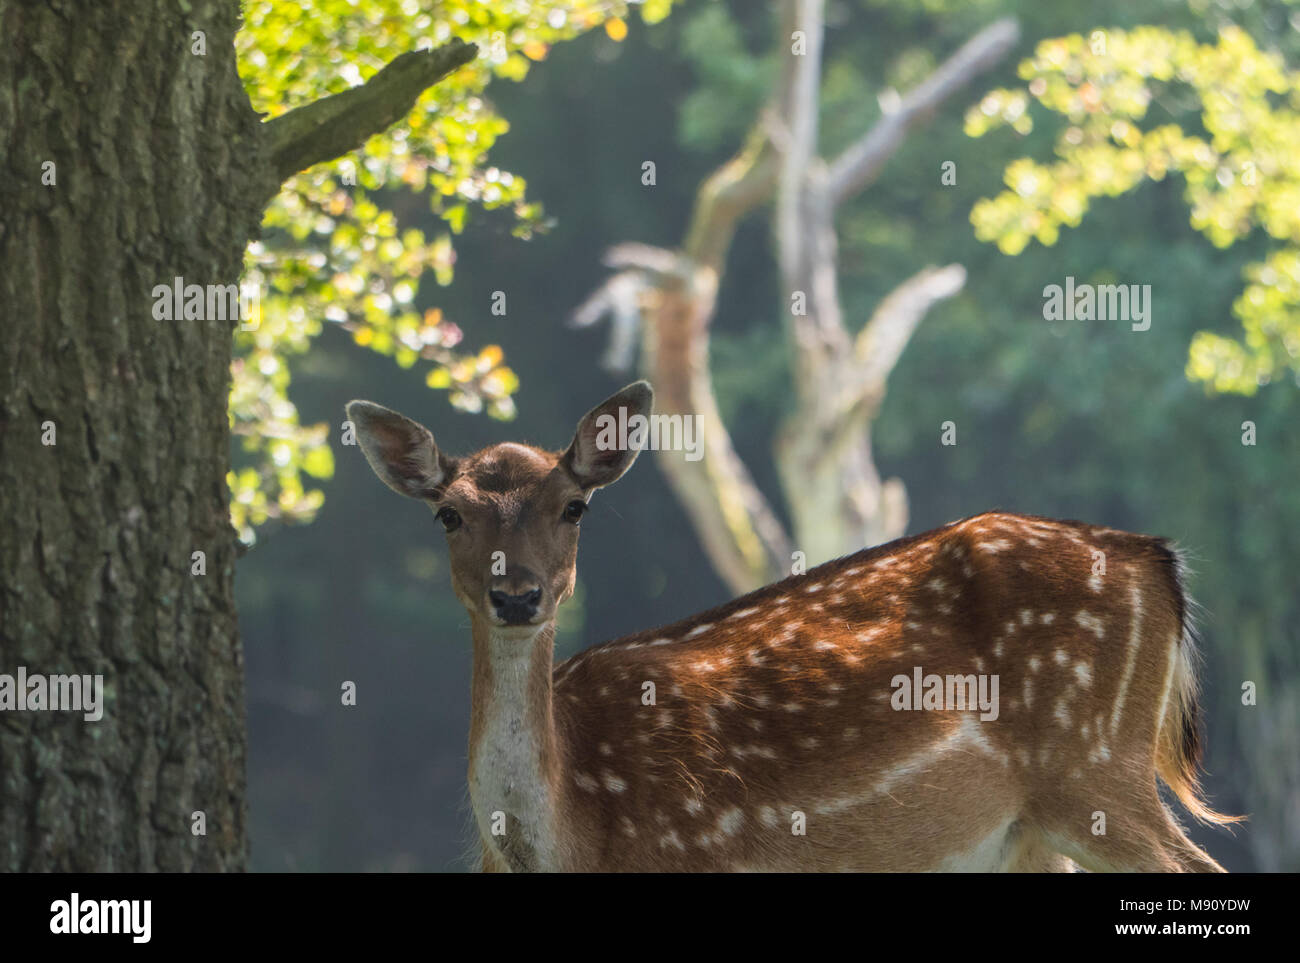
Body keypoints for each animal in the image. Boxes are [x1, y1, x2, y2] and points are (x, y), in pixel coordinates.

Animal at [346, 381, 1238, 872]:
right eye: (449, 514)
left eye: (574, 506)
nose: (519, 596)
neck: (572, 843)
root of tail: (1158, 559)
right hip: (1034, 833)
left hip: (1093, 766)